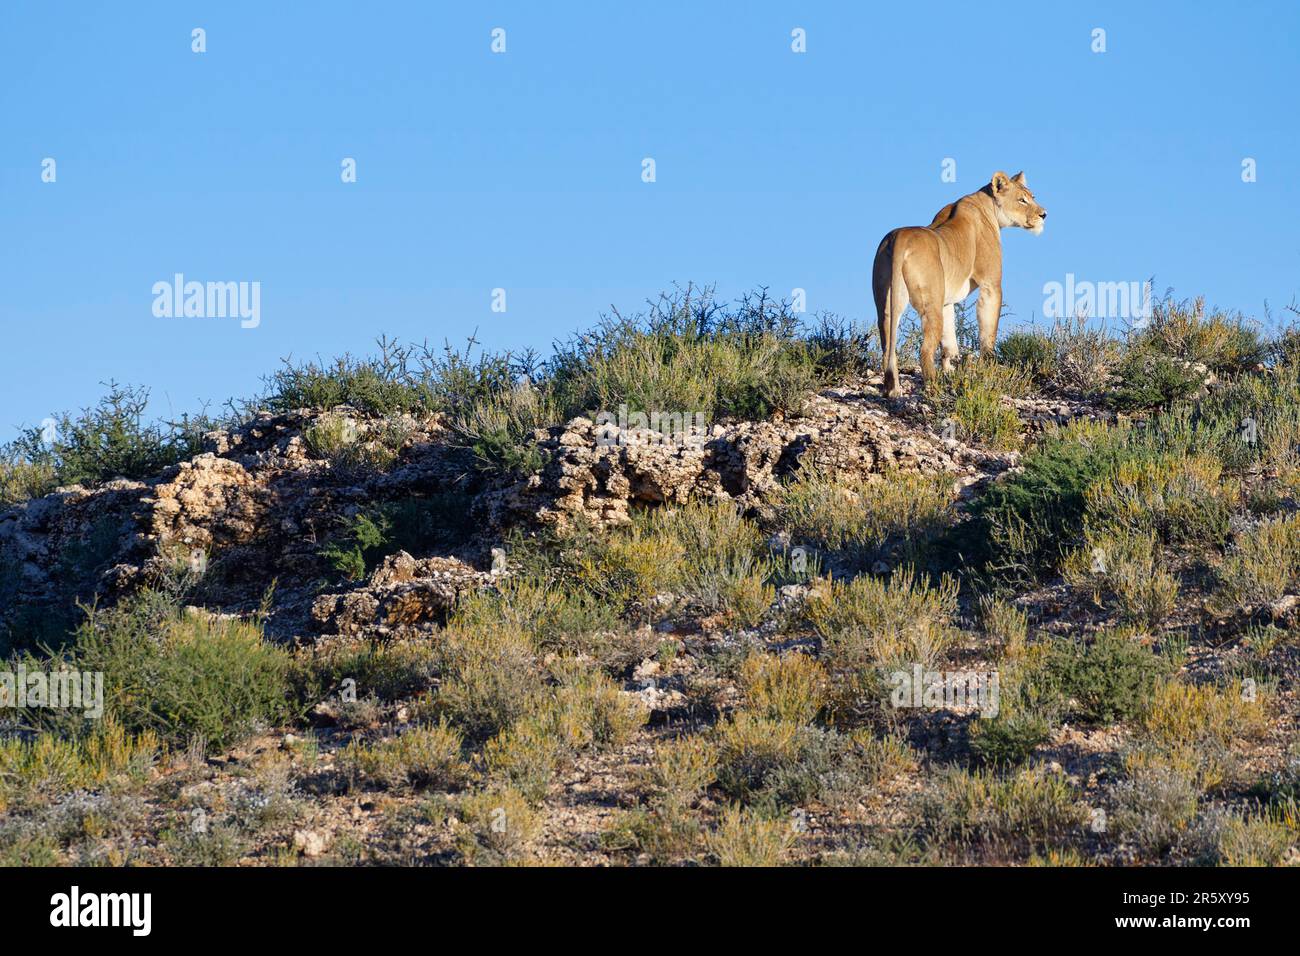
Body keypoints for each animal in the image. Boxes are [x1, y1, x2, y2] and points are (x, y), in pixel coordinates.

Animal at [872, 171, 1047, 397]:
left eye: (1032, 196)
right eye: (1022, 200)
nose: (1044, 214)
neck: (987, 206)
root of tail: (899, 237)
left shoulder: (947, 301)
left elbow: (950, 341)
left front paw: (952, 370)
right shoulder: (991, 284)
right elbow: (988, 330)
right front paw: (987, 366)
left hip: (888, 301)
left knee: (888, 345)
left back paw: (891, 389)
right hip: (931, 303)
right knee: (925, 349)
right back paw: (933, 387)